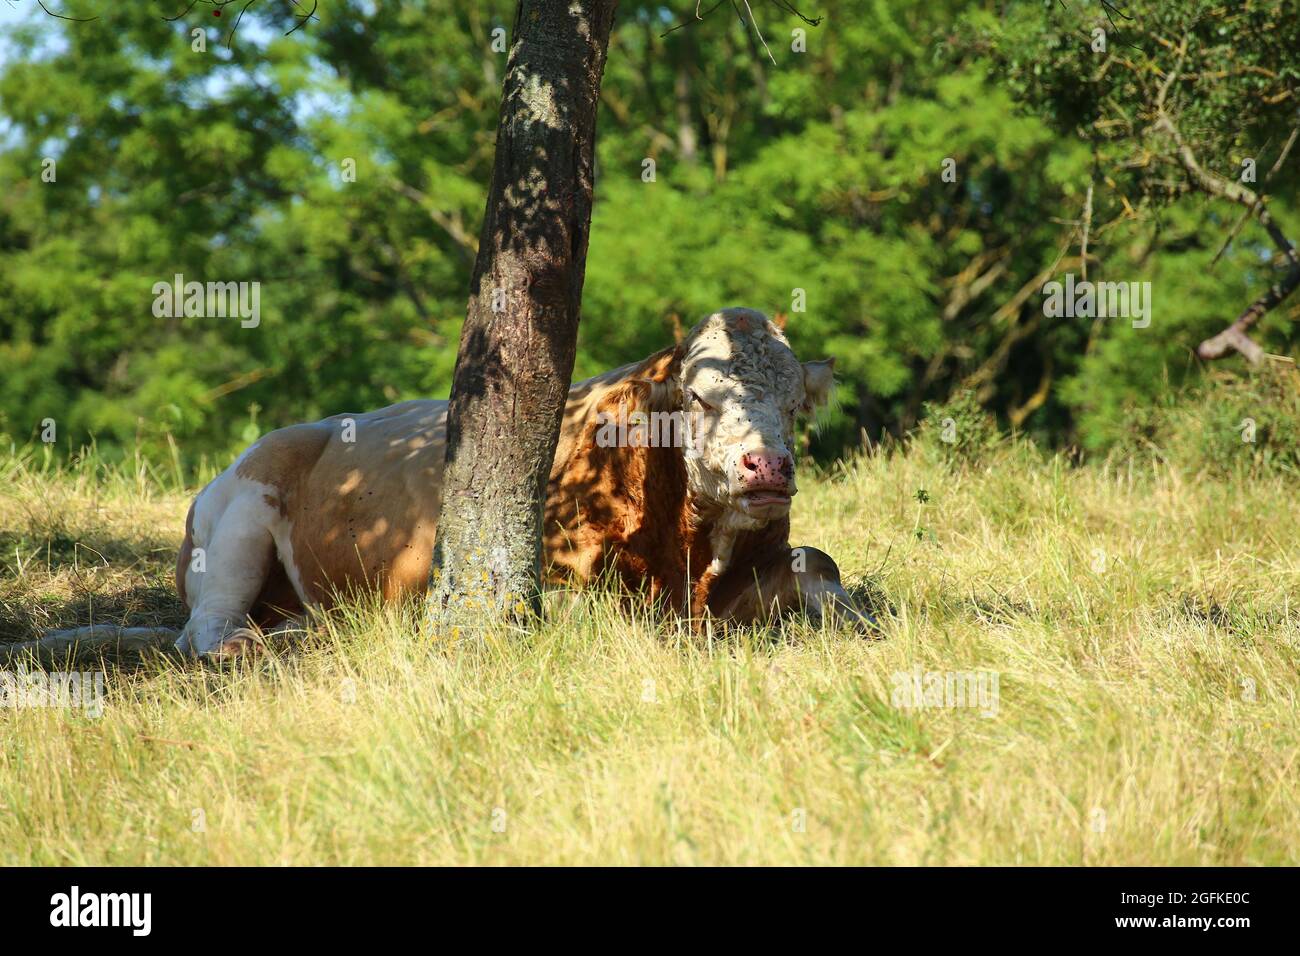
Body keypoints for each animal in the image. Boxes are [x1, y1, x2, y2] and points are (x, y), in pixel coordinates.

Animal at [8, 309, 873, 662]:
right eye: (698, 397)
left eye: (794, 405)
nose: (769, 469)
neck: (689, 558)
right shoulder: (556, 581)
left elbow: (821, 564)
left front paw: (861, 618)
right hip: (241, 512)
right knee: (205, 630)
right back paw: (267, 642)